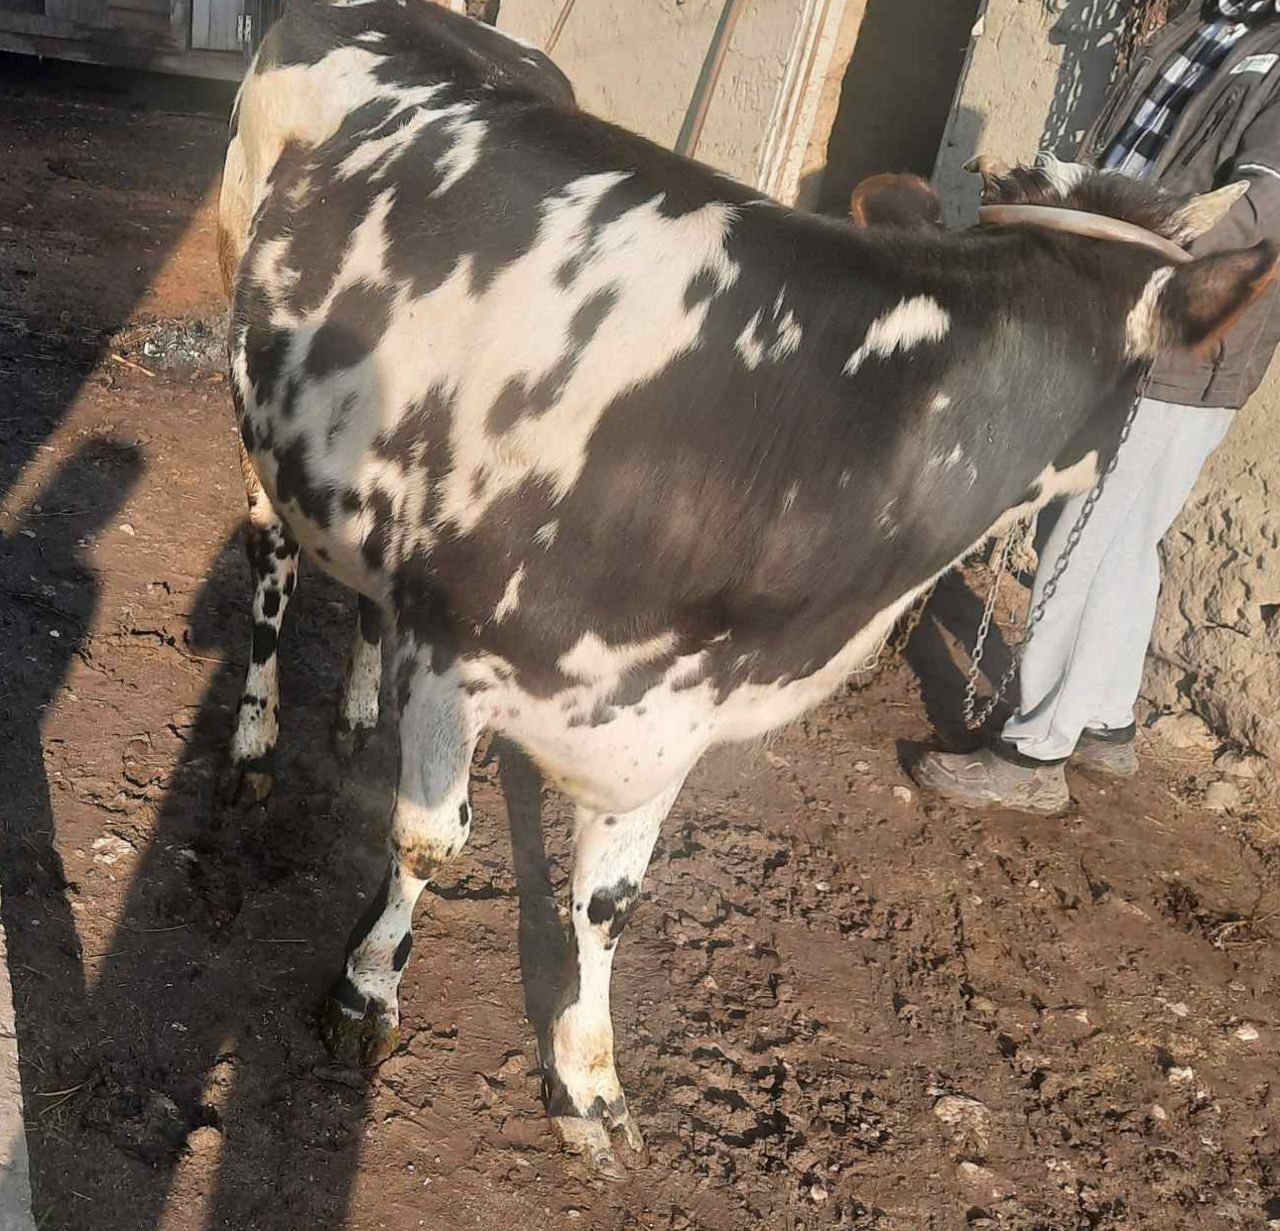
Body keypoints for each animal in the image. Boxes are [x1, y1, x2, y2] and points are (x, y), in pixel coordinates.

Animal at [216, 0, 1275, 1179]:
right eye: (1139, 384)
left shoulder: (672, 708)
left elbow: (607, 901)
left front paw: (591, 1084)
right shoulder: (456, 646)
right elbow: (426, 840)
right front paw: (367, 992)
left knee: (360, 593)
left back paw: (357, 706)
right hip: (249, 382)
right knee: (269, 563)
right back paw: (254, 739)